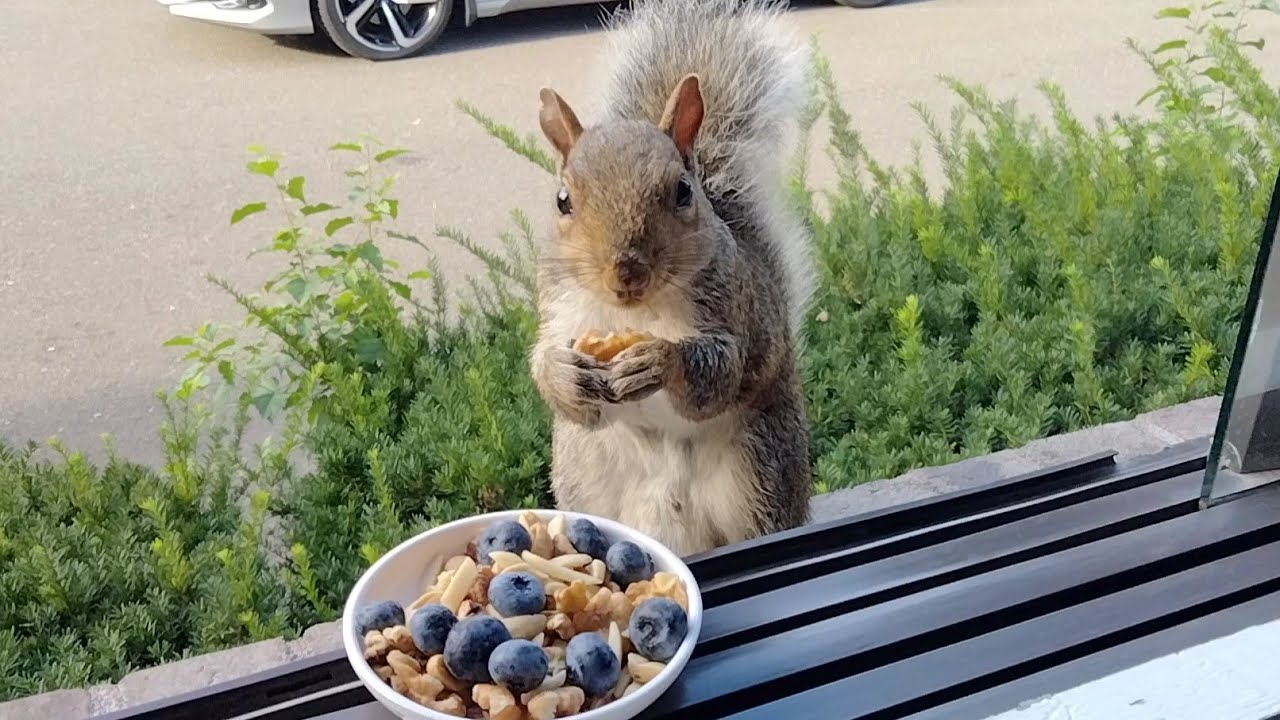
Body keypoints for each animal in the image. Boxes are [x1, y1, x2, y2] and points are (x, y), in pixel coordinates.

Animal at [529, 0, 816, 556]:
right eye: (562, 200)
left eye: (683, 191)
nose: (625, 270)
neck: (634, 311)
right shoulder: (557, 304)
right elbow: (543, 363)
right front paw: (565, 375)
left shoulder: (732, 307)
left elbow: (719, 373)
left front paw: (657, 361)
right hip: (587, 474)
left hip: (757, 473)